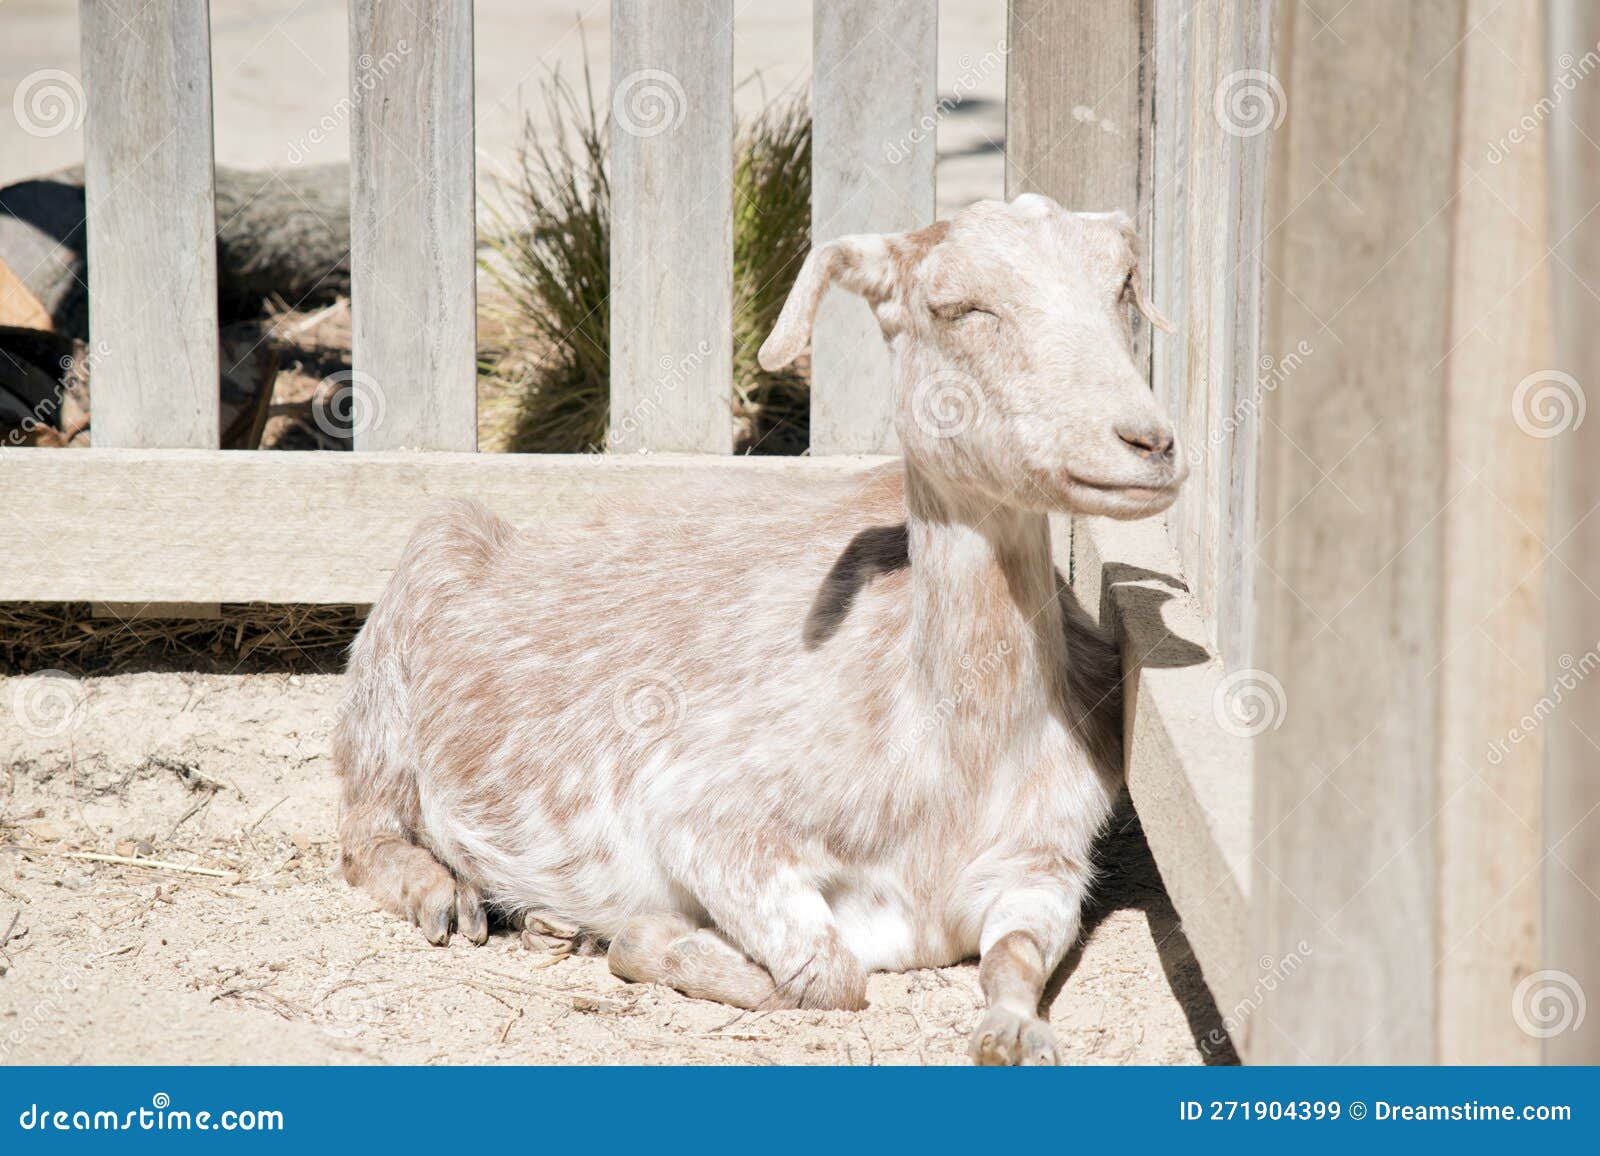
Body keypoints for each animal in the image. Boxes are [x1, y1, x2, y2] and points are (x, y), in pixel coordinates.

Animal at [334, 194, 1185, 1064]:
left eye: (1123, 286)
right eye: (958, 307)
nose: (1148, 442)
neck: (951, 767)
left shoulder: (1047, 859)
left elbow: (1012, 960)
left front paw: (1013, 1033)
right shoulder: (708, 813)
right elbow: (828, 972)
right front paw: (639, 938)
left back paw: (544, 920)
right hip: (395, 658)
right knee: (363, 829)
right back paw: (448, 897)